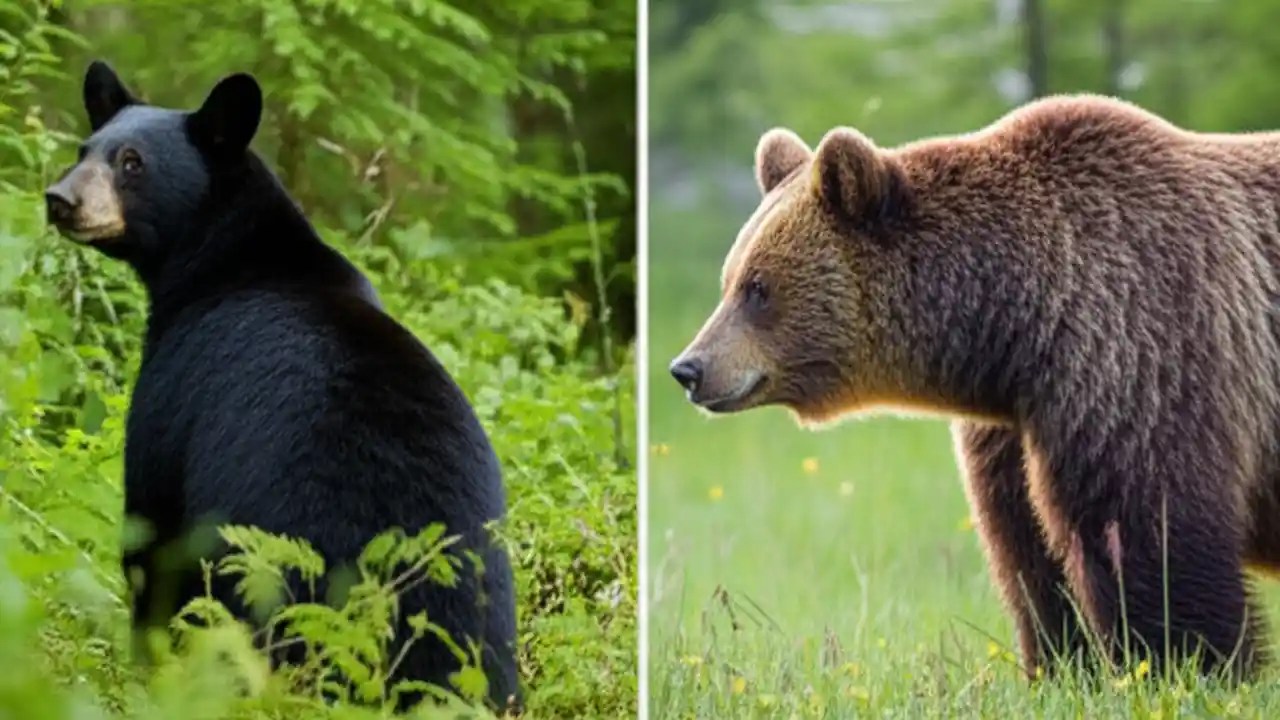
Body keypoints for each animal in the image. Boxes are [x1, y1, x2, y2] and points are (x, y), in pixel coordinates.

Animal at [44, 61, 519, 712]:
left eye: (132, 162)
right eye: (84, 149)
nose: (60, 199)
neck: (223, 258)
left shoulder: (178, 385)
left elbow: (151, 531)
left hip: (271, 562)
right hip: (481, 605)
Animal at [669, 94, 1280, 680]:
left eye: (758, 288)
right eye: (730, 279)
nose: (689, 368)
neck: (1019, 325)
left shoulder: (1141, 345)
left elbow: (1146, 527)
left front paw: (1188, 667)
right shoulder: (1017, 421)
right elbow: (1027, 549)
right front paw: (1062, 664)